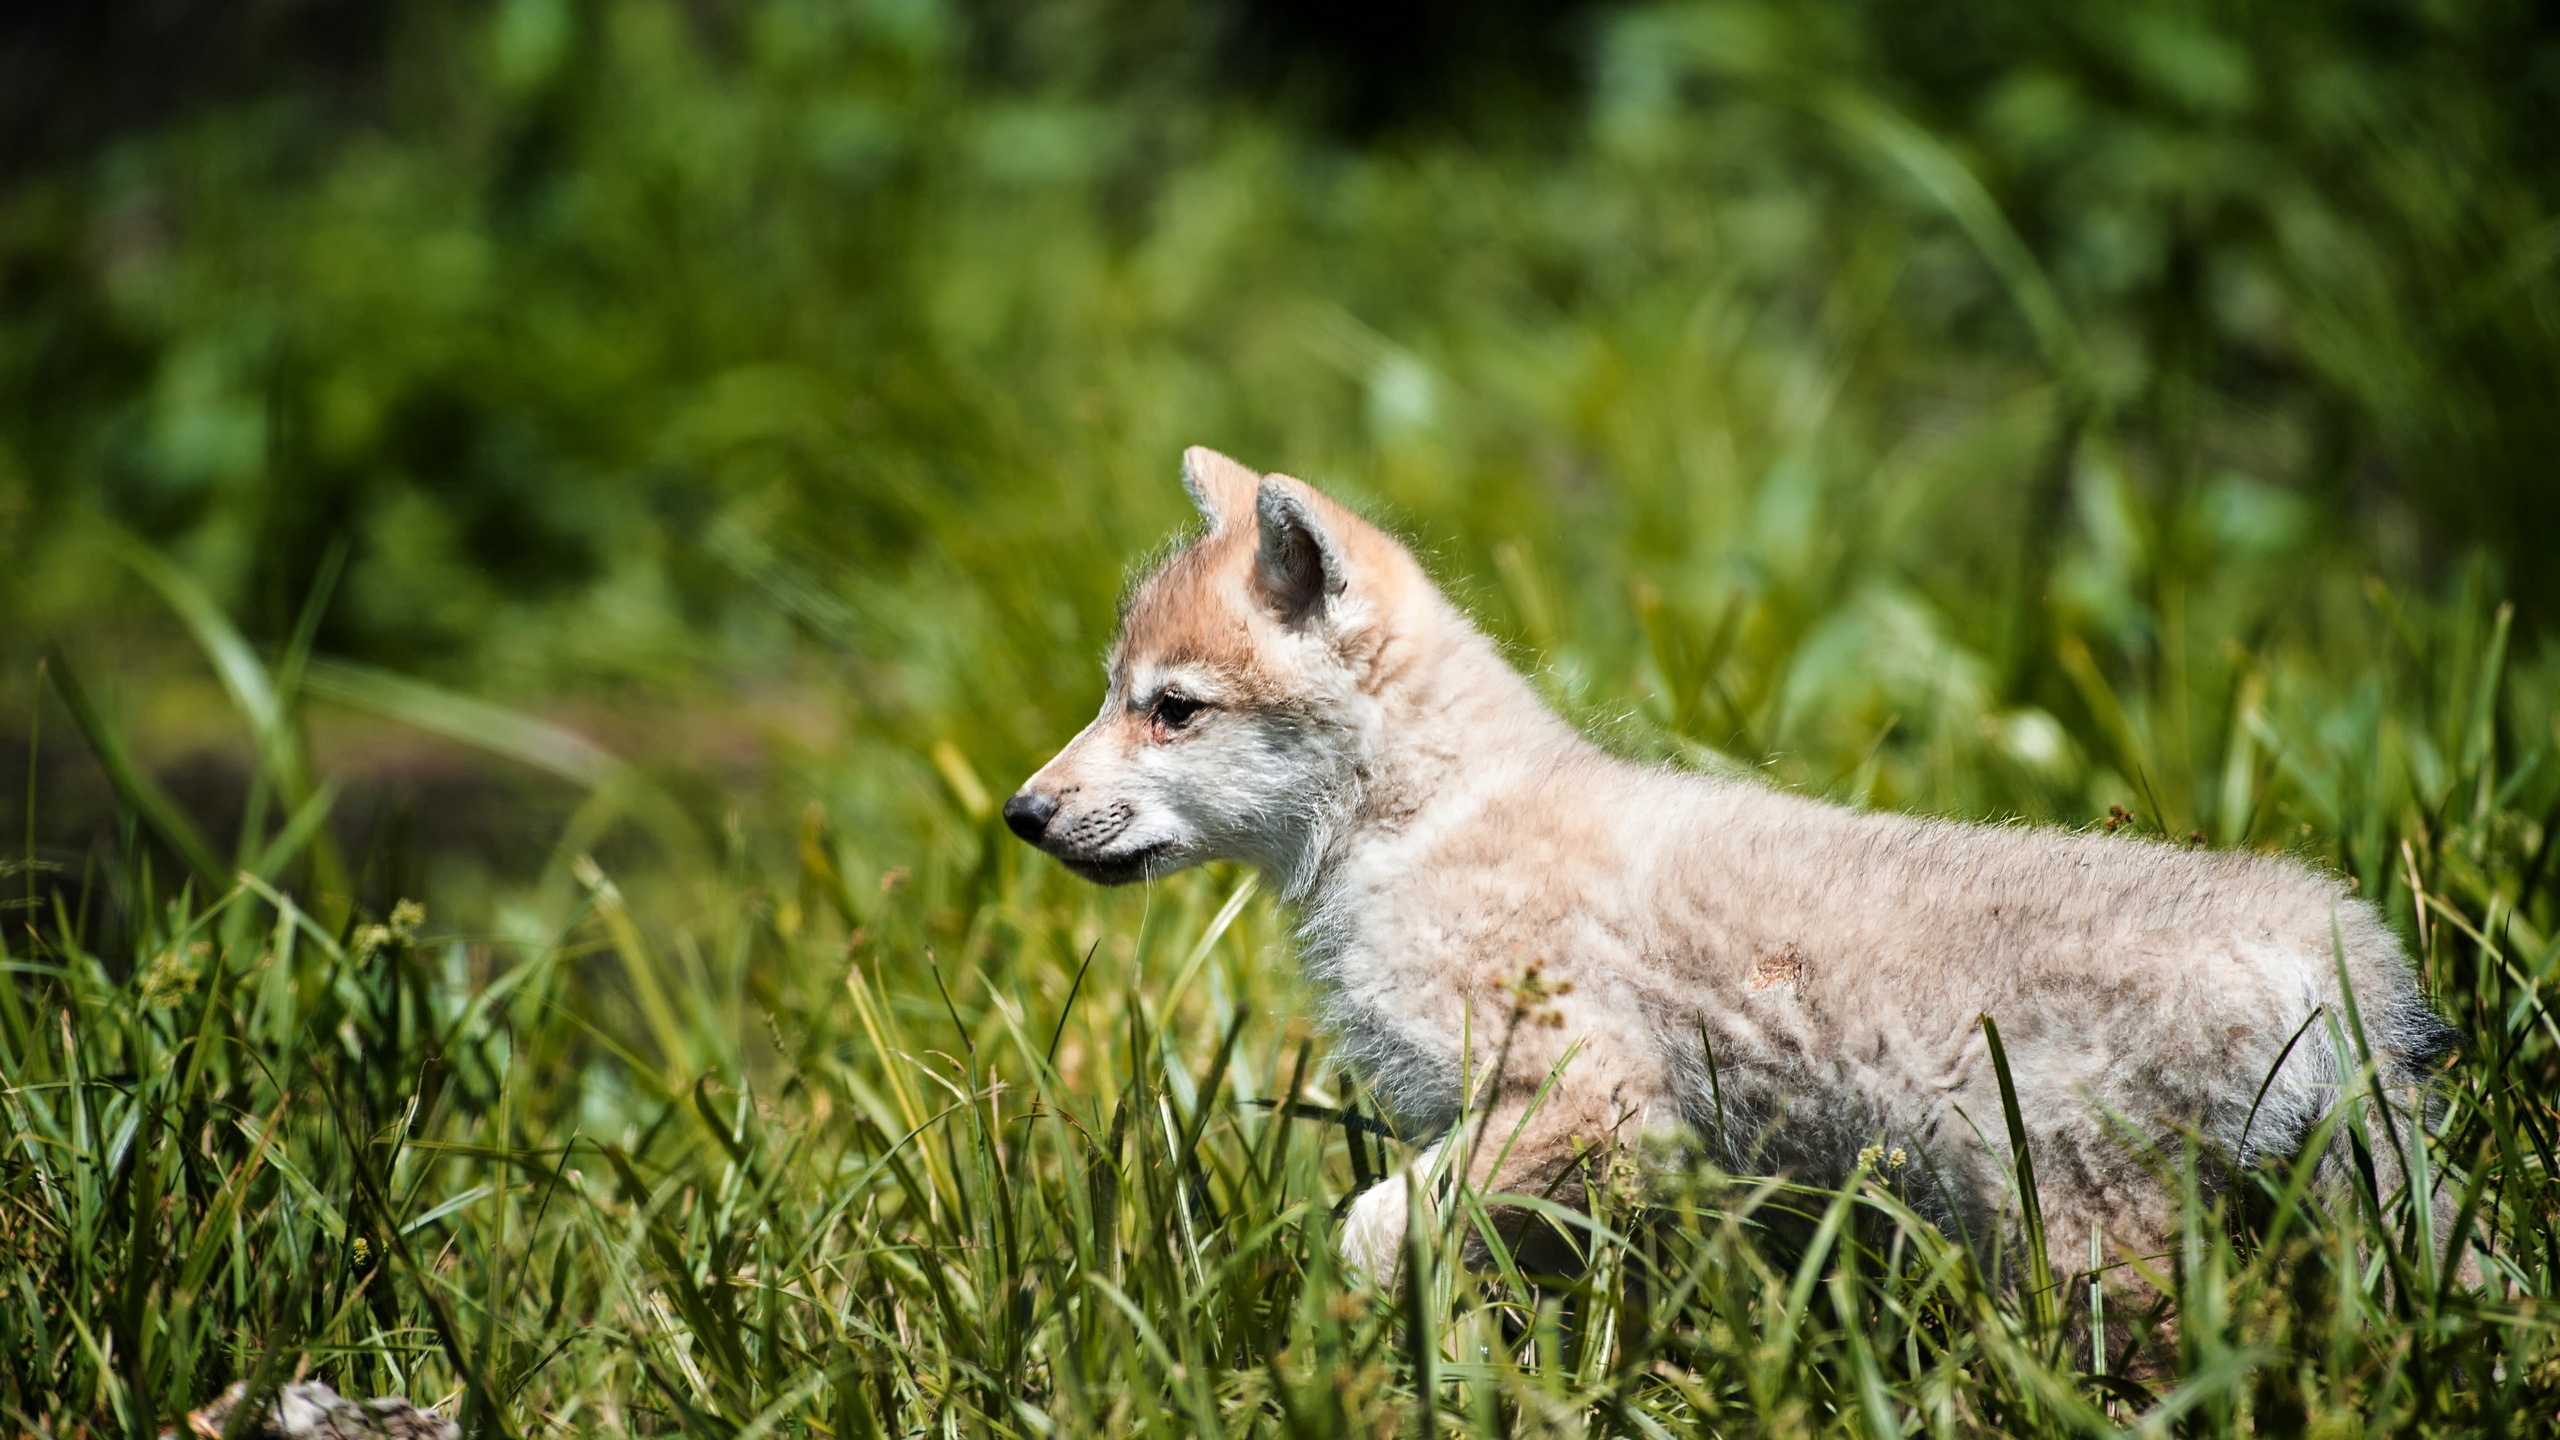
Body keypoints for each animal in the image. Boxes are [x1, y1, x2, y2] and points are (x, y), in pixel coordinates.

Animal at [1003, 446, 2458, 1287]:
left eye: (1170, 710)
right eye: (1112, 694)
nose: (1021, 811)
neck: (1420, 826)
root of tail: (2336, 950)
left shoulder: (1587, 1094)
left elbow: (1366, 1235)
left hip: (2082, 1227)